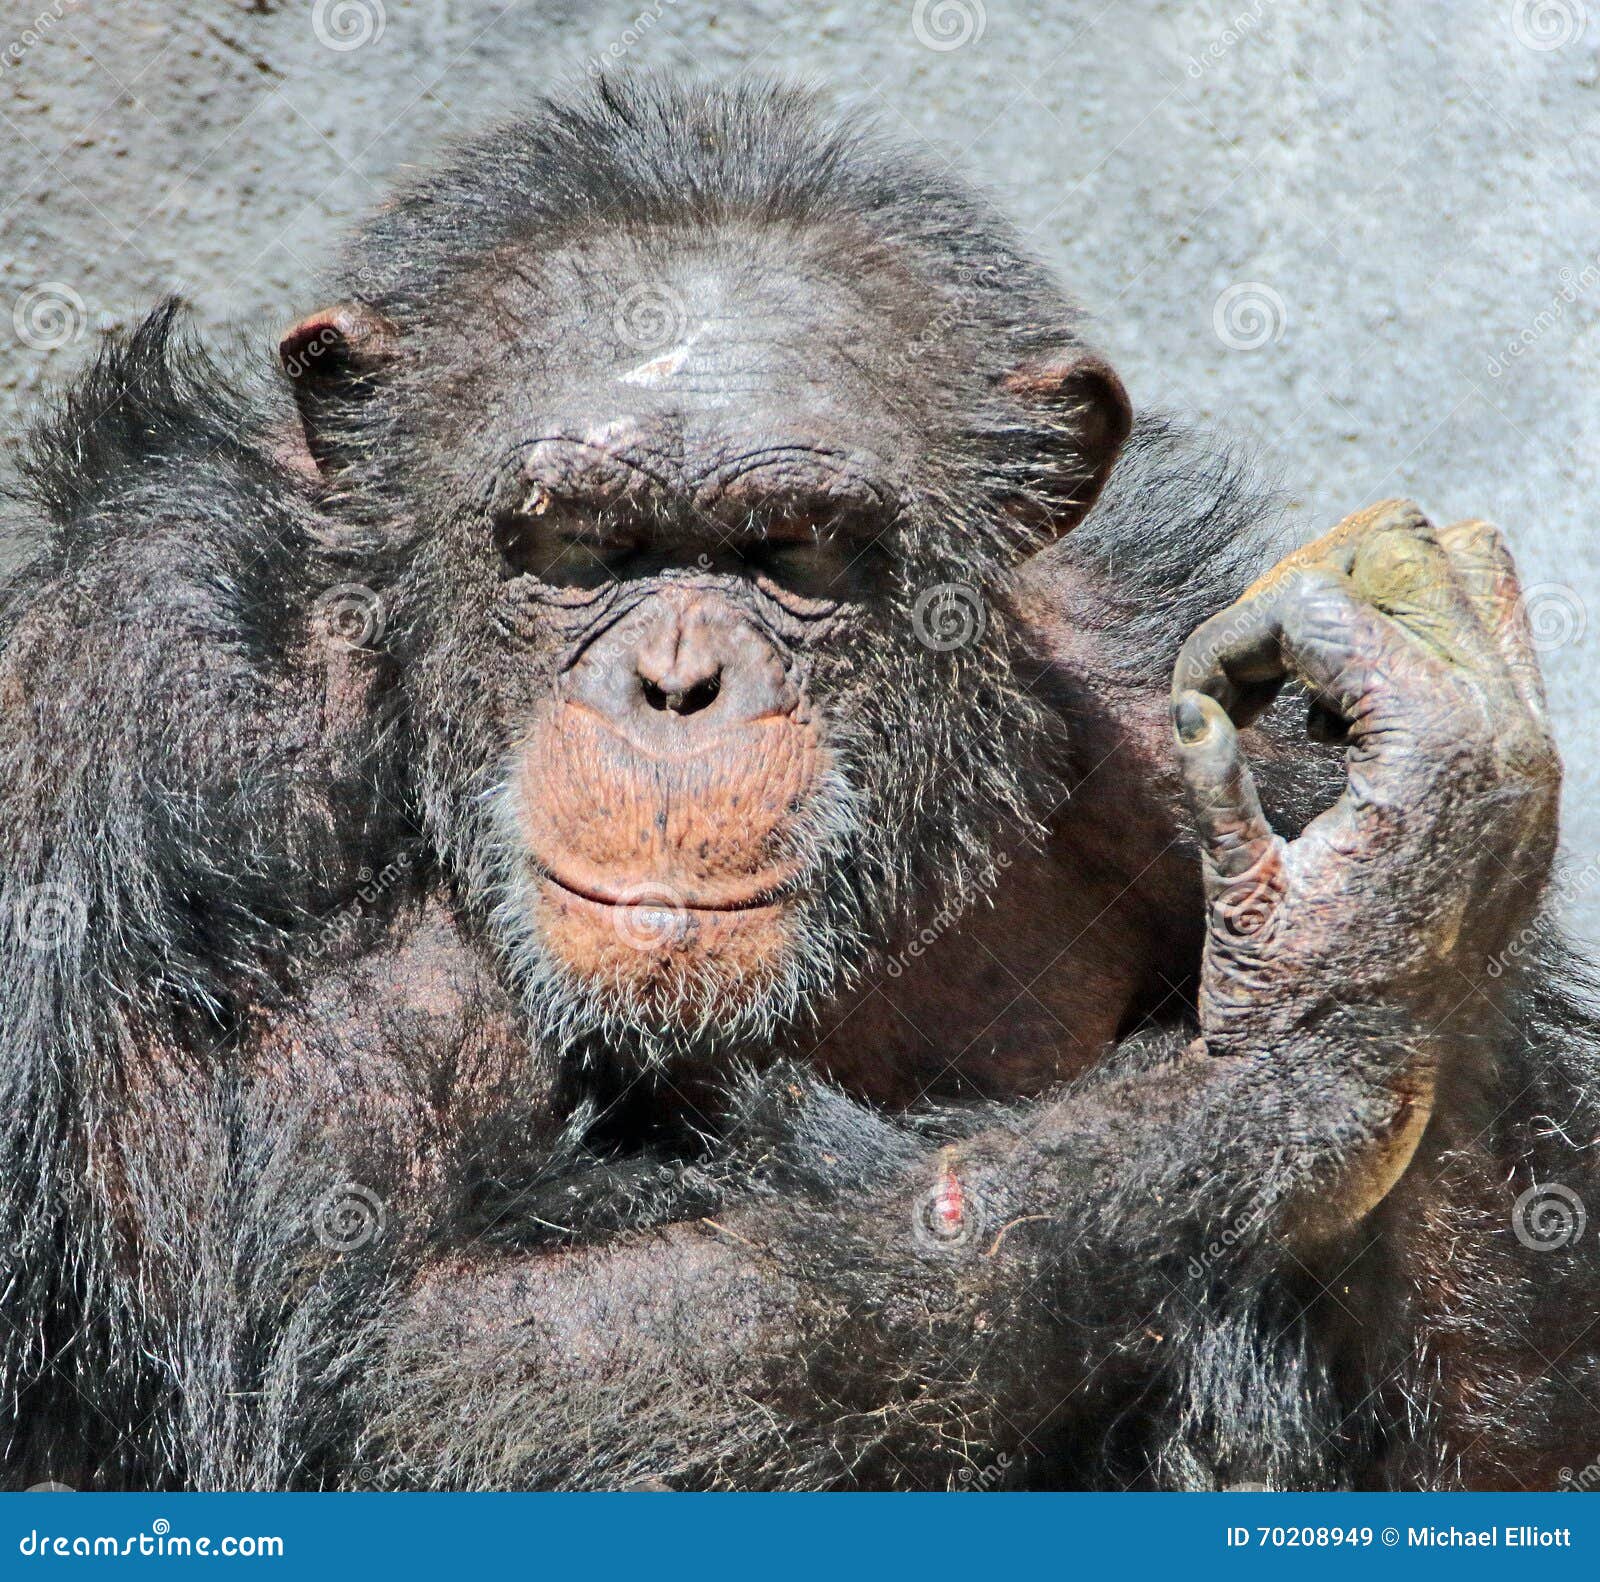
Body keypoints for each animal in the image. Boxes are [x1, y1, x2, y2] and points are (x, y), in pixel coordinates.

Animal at [2, 77, 1595, 1493]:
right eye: (578, 544)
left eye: (796, 554)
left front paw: (1416, 880)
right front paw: (1324, 1009)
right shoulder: (161, 703)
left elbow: (1503, 1442)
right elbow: (353, 1350)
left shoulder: (1200, 706)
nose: (678, 684)